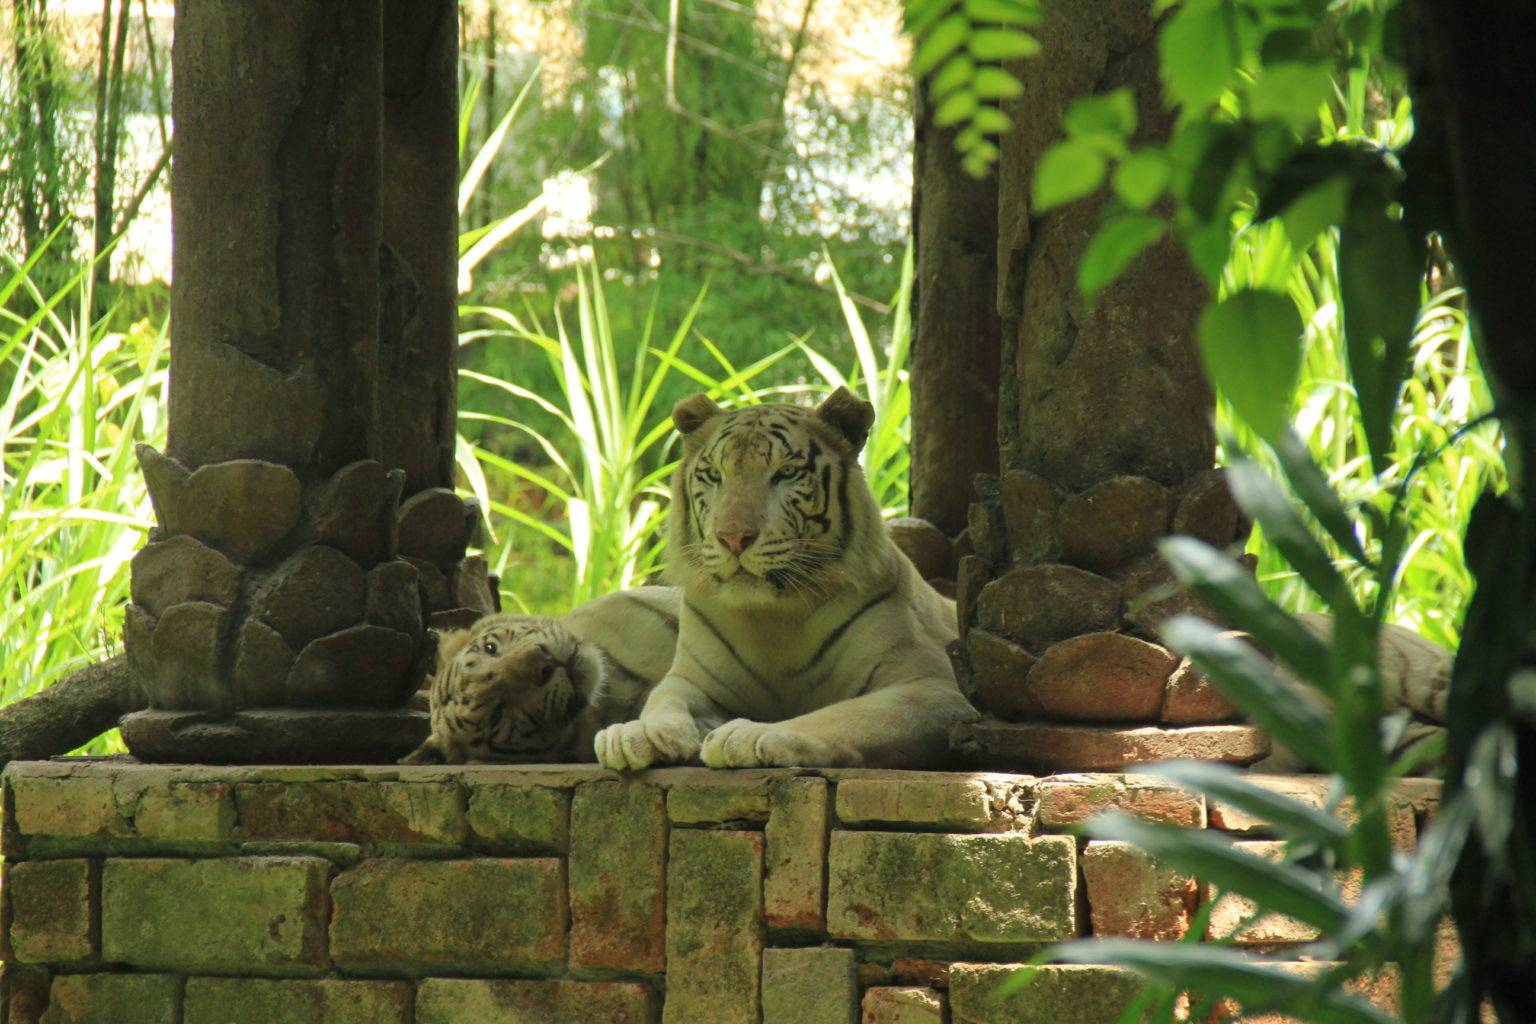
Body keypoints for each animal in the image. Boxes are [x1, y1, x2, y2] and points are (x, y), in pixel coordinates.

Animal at [593, 387, 979, 770]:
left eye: (787, 472)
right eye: (715, 475)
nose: (733, 537)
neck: (772, 617)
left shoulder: (939, 686)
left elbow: (844, 715)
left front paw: (749, 734)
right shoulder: (692, 679)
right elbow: (664, 698)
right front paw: (635, 734)